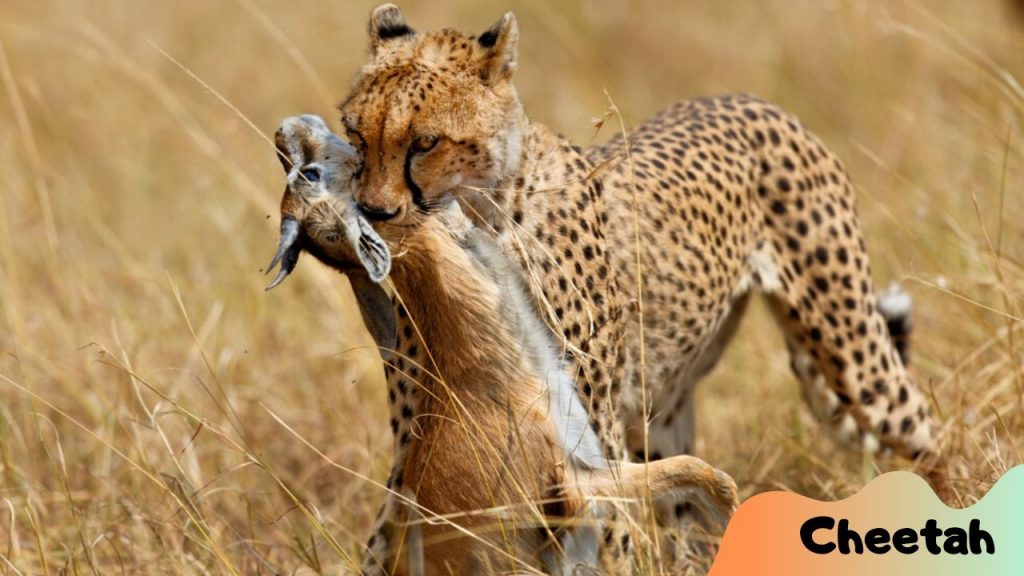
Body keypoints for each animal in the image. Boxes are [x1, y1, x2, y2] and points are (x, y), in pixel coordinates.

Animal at [293, 4, 949, 573]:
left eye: (424, 142)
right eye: (356, 134)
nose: (374, 214)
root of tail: (744, 97)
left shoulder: (582, 431)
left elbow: (609, 536)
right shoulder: (423, 435)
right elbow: (391, 535)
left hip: (852, 355)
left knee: (927, 433)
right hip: (665, 402)